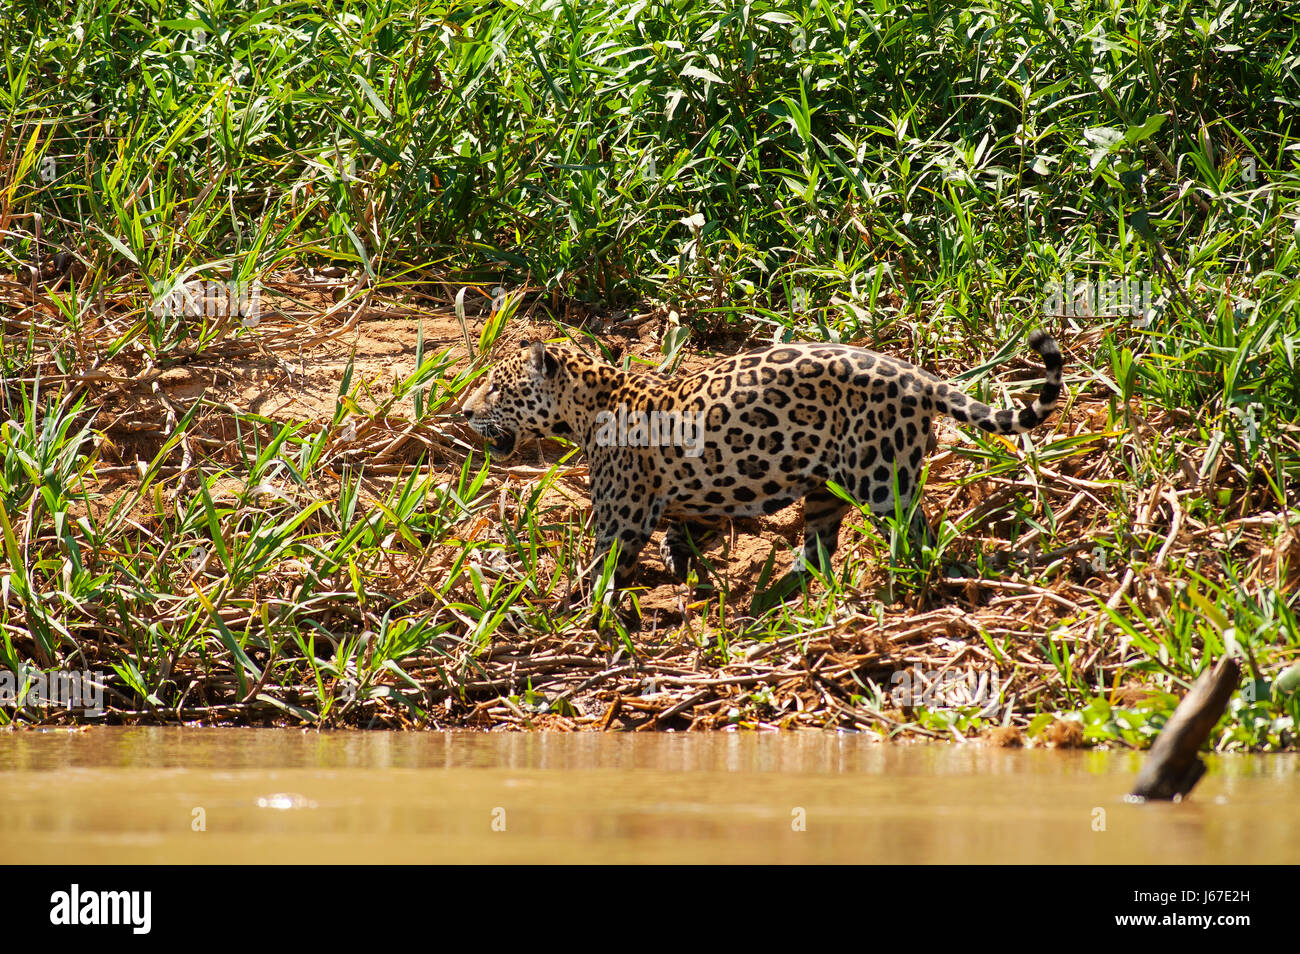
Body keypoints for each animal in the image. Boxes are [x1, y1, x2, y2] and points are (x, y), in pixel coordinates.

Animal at [460, 331, 1063, 607]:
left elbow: (603, 564)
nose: (463, 412)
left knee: (914, 530)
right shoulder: (693, 497)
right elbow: (687, 531)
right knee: (820, 542)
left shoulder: (622, 515)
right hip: (825, 485)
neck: (591, 404)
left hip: (880, 476)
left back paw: (905, 580)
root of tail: (919, 376)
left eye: (497, 389)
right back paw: (780, 592)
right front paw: (684, 569)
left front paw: (575, 607)